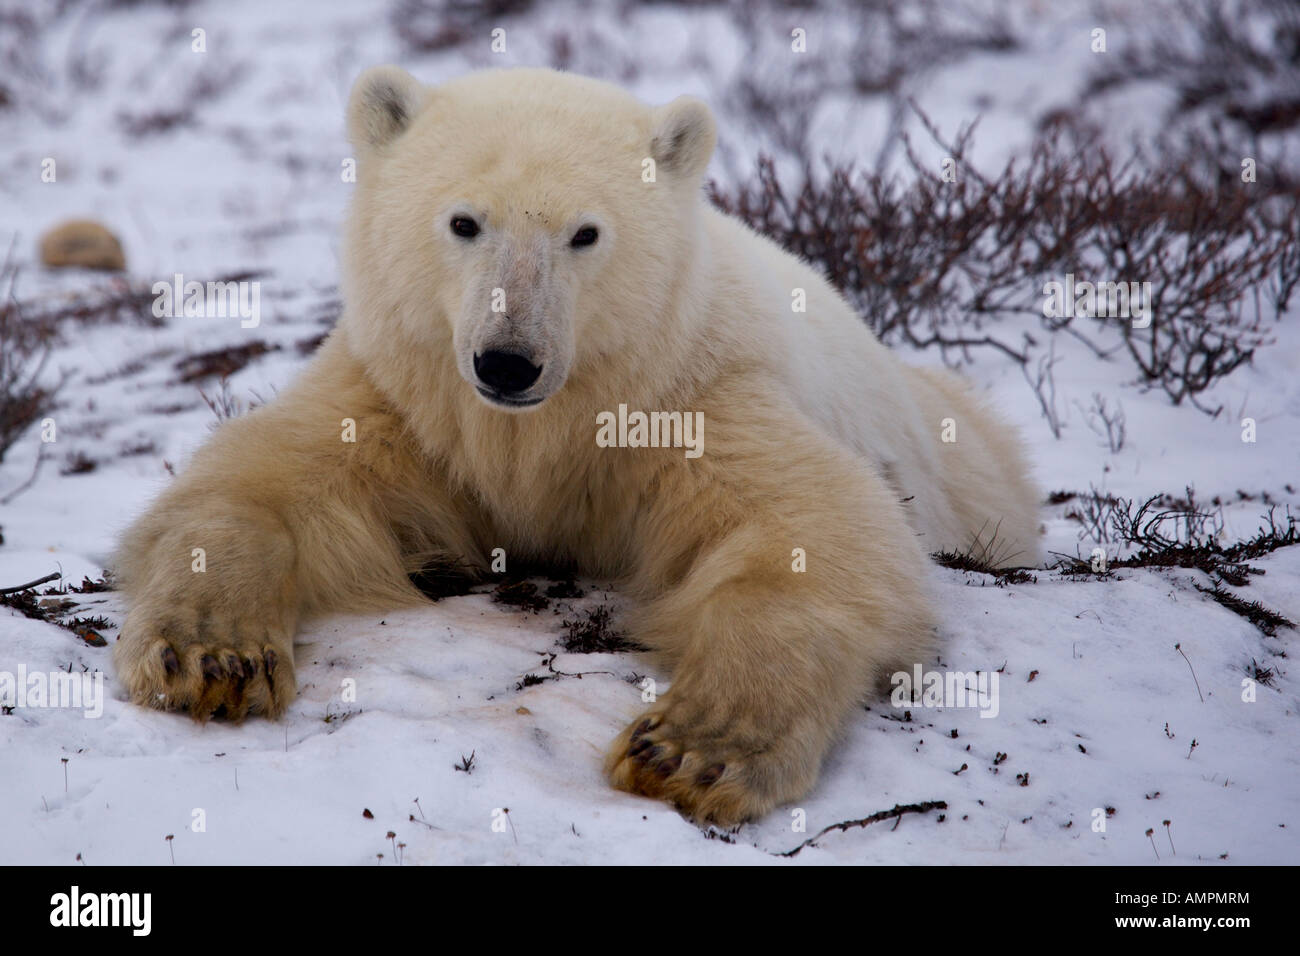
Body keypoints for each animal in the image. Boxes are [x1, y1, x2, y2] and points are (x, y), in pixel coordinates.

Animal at [113, 66, 1041, 826]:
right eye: (464, 221)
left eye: (585, 233)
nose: (507, 361)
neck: (547, 422)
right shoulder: (407, 402)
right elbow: (262, 482)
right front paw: (211, 653)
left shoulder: (687, 397)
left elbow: (816, 533)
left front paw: (694, 748)